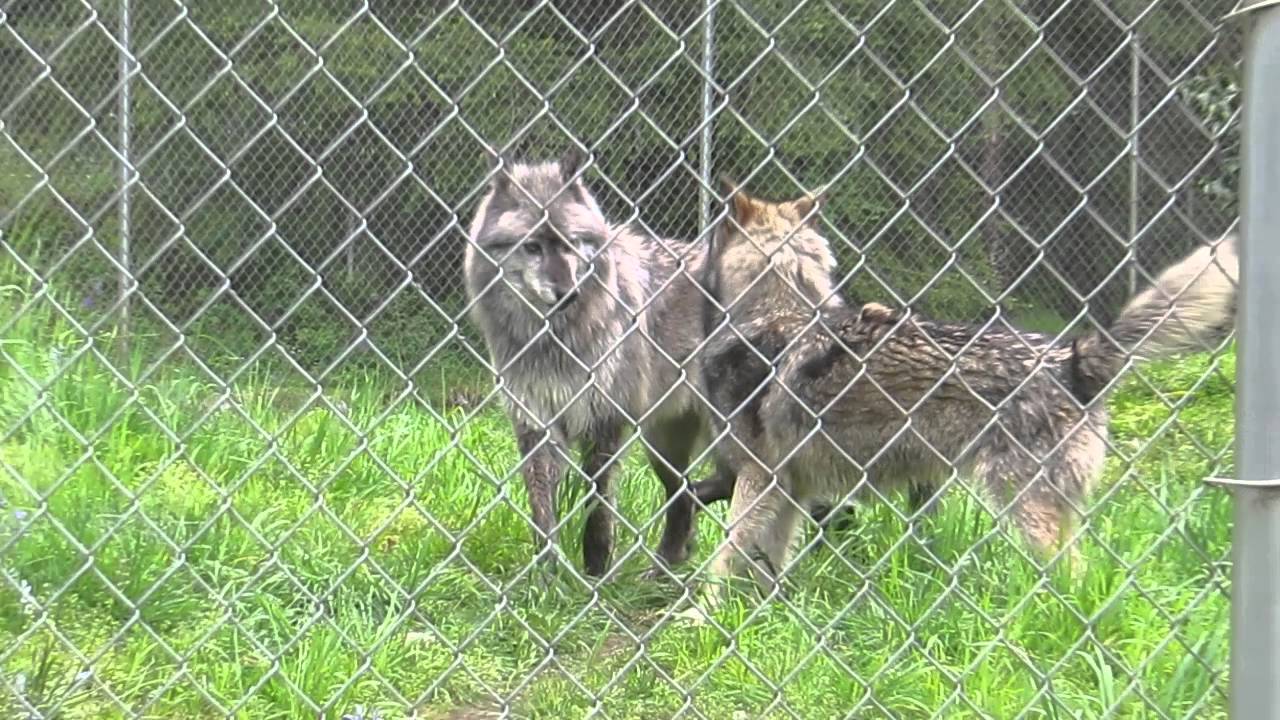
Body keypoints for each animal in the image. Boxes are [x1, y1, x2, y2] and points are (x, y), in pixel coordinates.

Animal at [464, 149, 742, 579]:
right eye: (532, 248)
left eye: (572, 244)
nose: (567, 293)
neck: (553, 342)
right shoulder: (536, 423)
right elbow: (542, 511)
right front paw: (546, 576)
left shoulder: (605, 420)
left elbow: (597, 504)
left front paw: (596, 570)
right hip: (662, 442)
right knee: (684, 495)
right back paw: (662, 567)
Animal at [695, 184, 1238, 598]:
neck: (776, 312)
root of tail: (1072, 356)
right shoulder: (792, 488)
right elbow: (767, 561)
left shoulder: (758, 478)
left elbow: (723, 556)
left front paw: (703, 620)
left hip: (1021, 505)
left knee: (1075, 575)